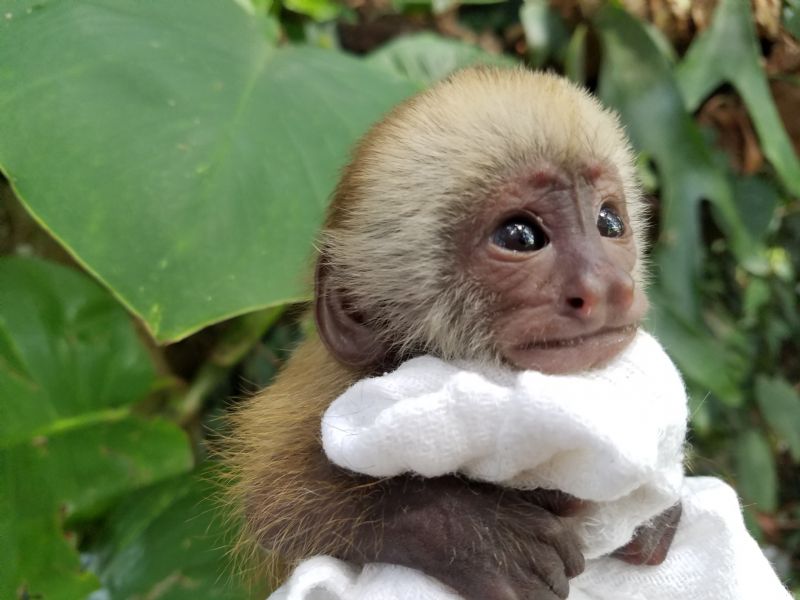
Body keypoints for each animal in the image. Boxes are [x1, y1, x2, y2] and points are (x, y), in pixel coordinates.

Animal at [226, 67, 681, 600]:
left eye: (609, 222)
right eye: (519, 236)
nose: (608, 286)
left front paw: (654, 513)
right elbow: (274, 504)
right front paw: (468, 532)